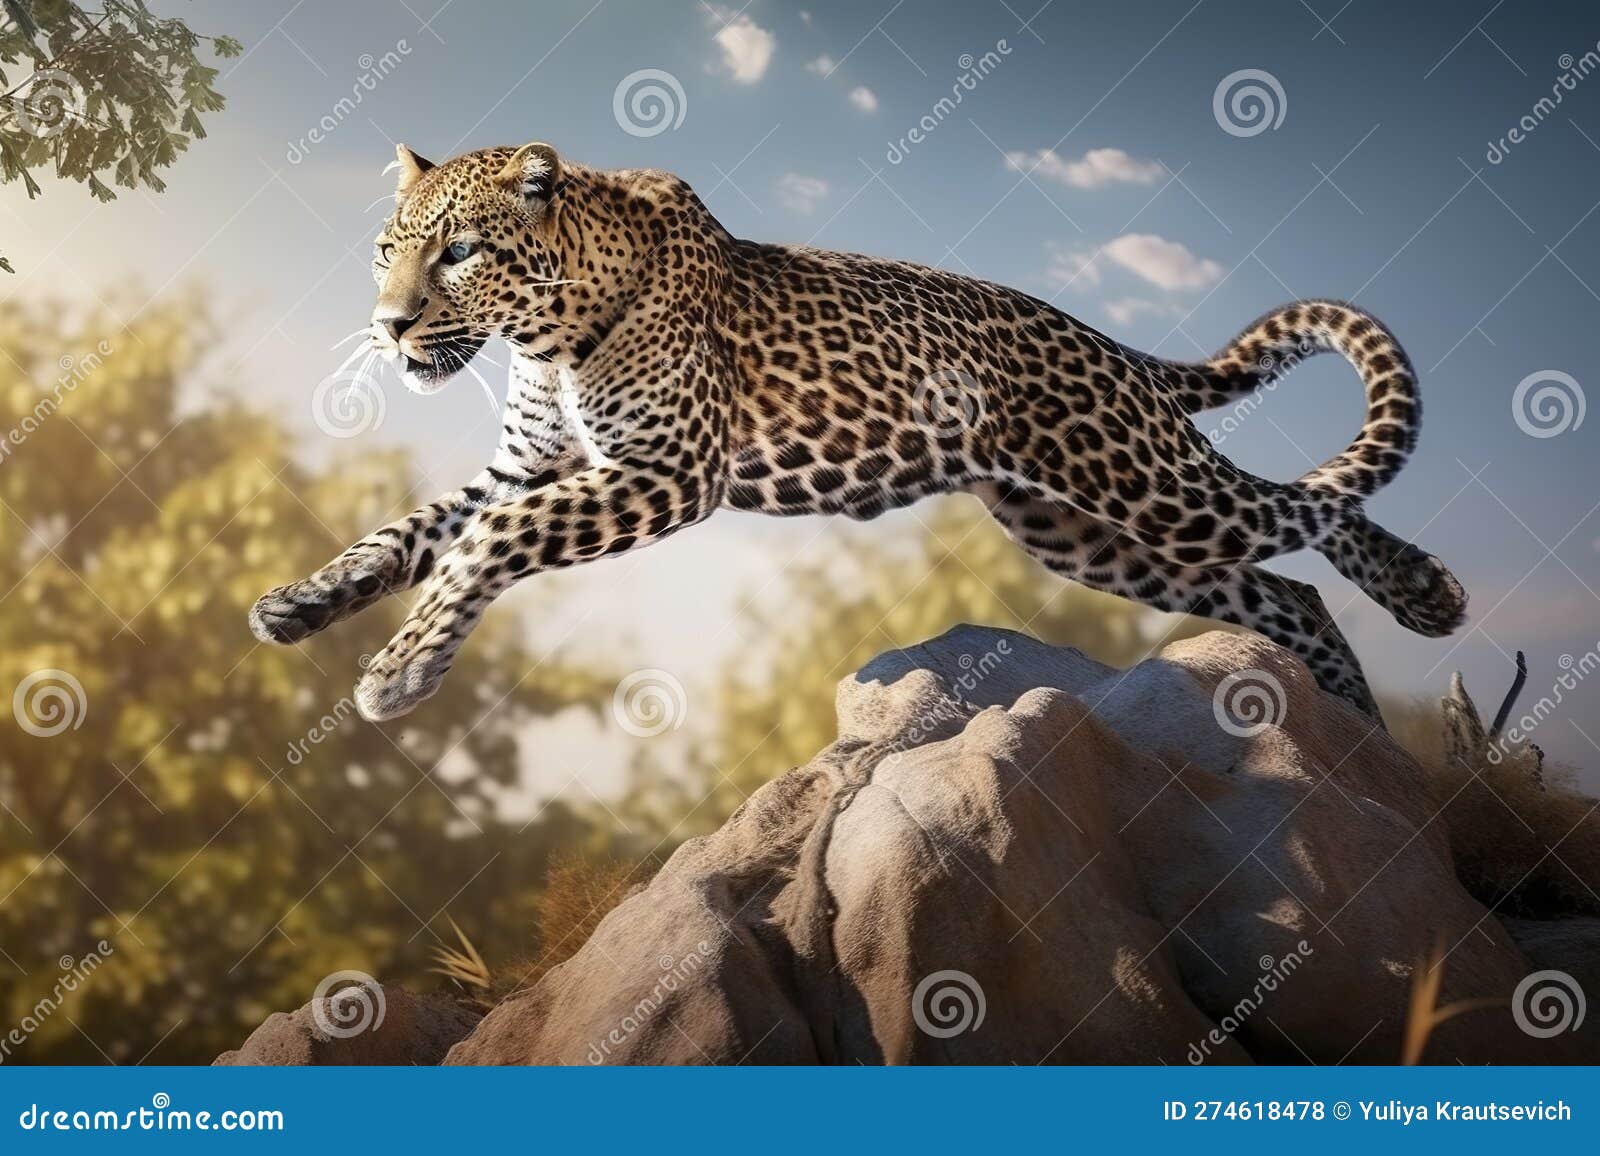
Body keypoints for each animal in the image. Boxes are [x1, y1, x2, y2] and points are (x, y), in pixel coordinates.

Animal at [249, 141, 1467, 724]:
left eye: (457, 251)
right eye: (387, 248)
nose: (388, 324)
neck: (544, 335)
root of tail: (1107, 342)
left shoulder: (666, 470)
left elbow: (484, 544)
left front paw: (398, 673)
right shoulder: (528, 465)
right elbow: (414, 531)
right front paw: (301, 604)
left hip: (1143, 480)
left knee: (1303, 504)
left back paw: (1426, 596)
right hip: (1087, 533)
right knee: (1284, 589)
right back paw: (1360, 726)